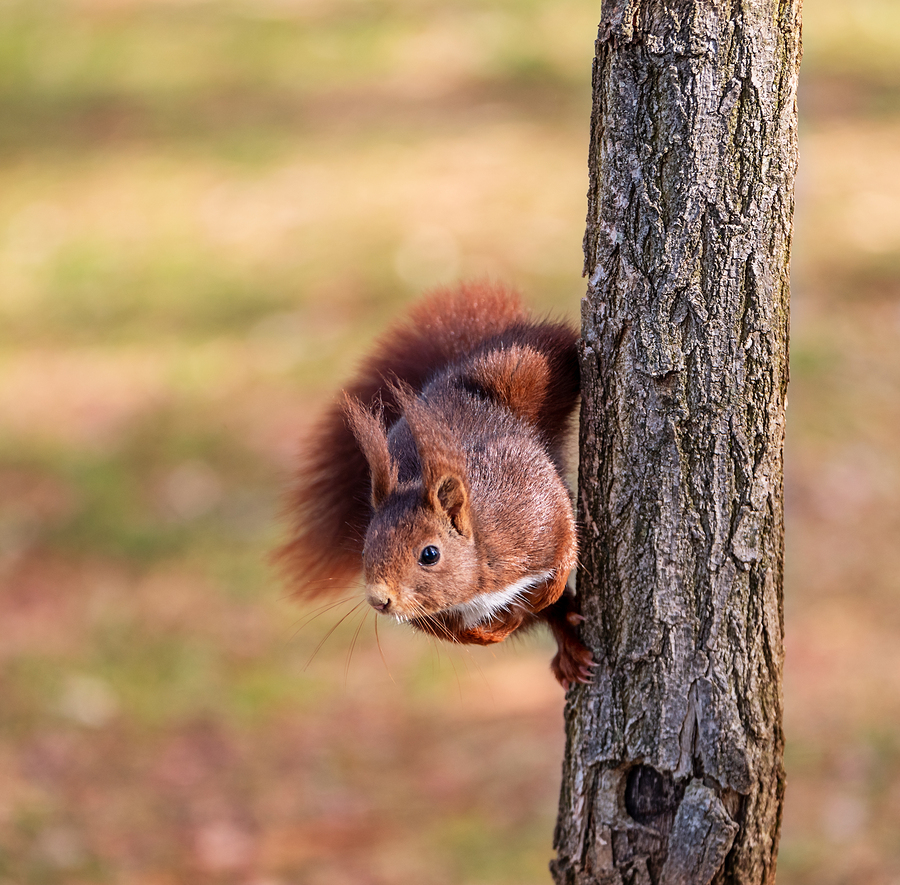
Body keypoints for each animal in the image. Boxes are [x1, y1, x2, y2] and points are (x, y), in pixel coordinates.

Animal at [279, 282, 594, 688]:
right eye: (365, 549)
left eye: (429, 554)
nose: (379, 600)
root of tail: (451, 372)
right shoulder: (428, 610)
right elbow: (449, 631)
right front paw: (485, 633)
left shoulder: (528, 507)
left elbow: (564, 533)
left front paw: (549, 587)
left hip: (524, 365)